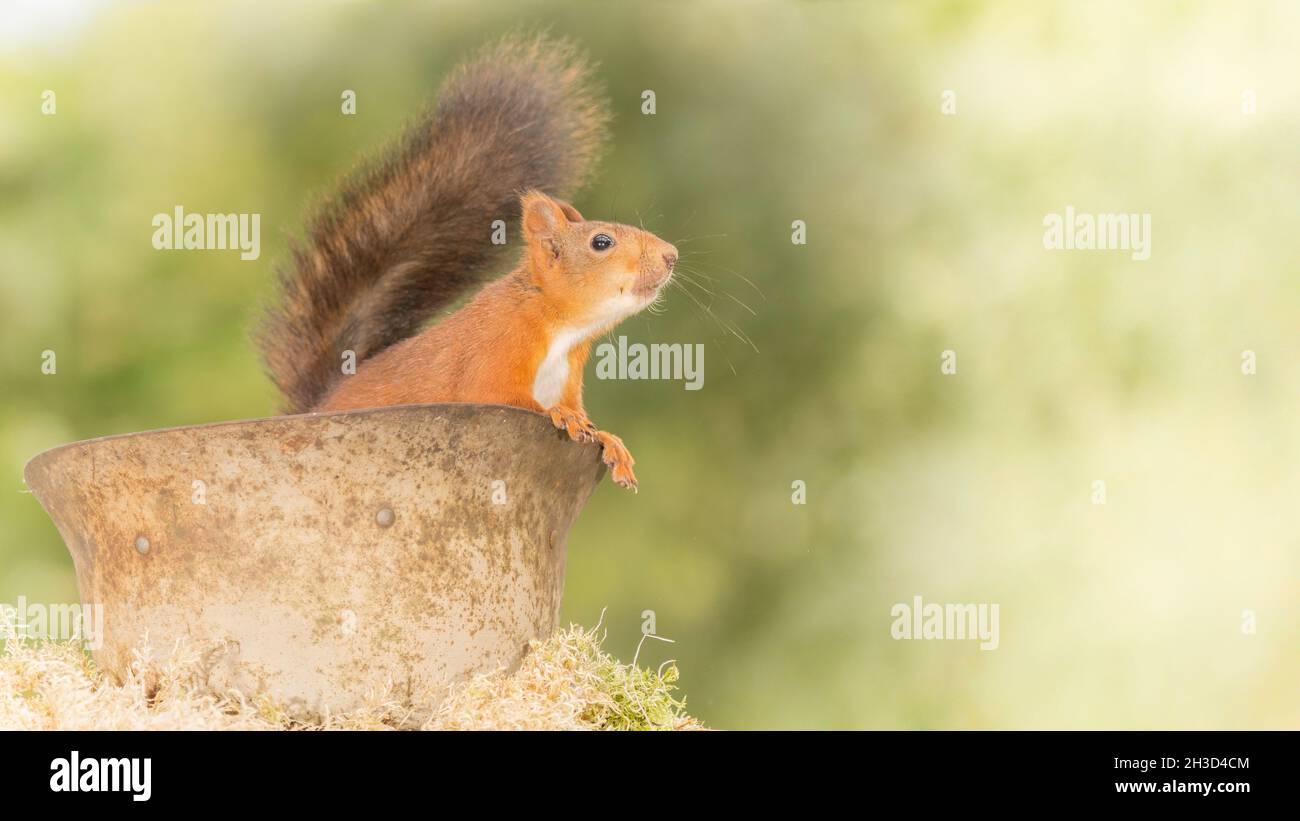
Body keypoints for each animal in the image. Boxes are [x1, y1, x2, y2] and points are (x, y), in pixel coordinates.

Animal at [256, 36, 676, 490]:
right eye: (602, 242)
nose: (671, 256)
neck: (564, 330)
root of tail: (316, 407)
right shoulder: (493, 353)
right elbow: (507, 399)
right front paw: (560, 415)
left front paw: (610, 440)